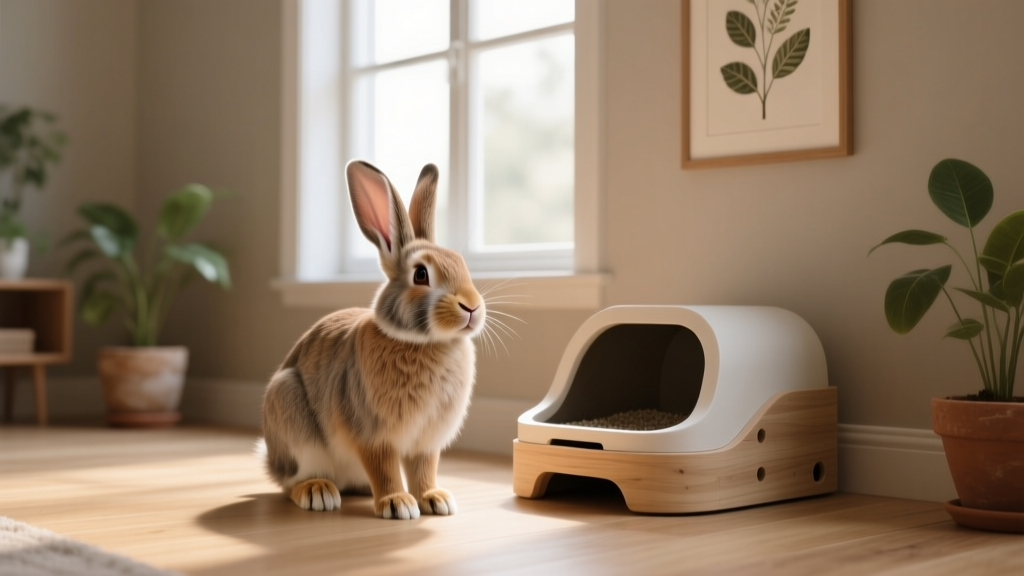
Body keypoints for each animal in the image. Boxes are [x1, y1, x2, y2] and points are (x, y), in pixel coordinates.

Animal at [261, 160, 486, 520]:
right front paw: (397, 504)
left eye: (463, 265)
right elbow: (384, 467)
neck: (422, 343)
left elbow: (425, 468)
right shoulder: (372, 434)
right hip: (290, 414)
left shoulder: (426, 441)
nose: (472, 307)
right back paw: (318, 492)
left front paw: (435, 499)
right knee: (292, 482)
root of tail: (270, 461)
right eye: (421, 274)